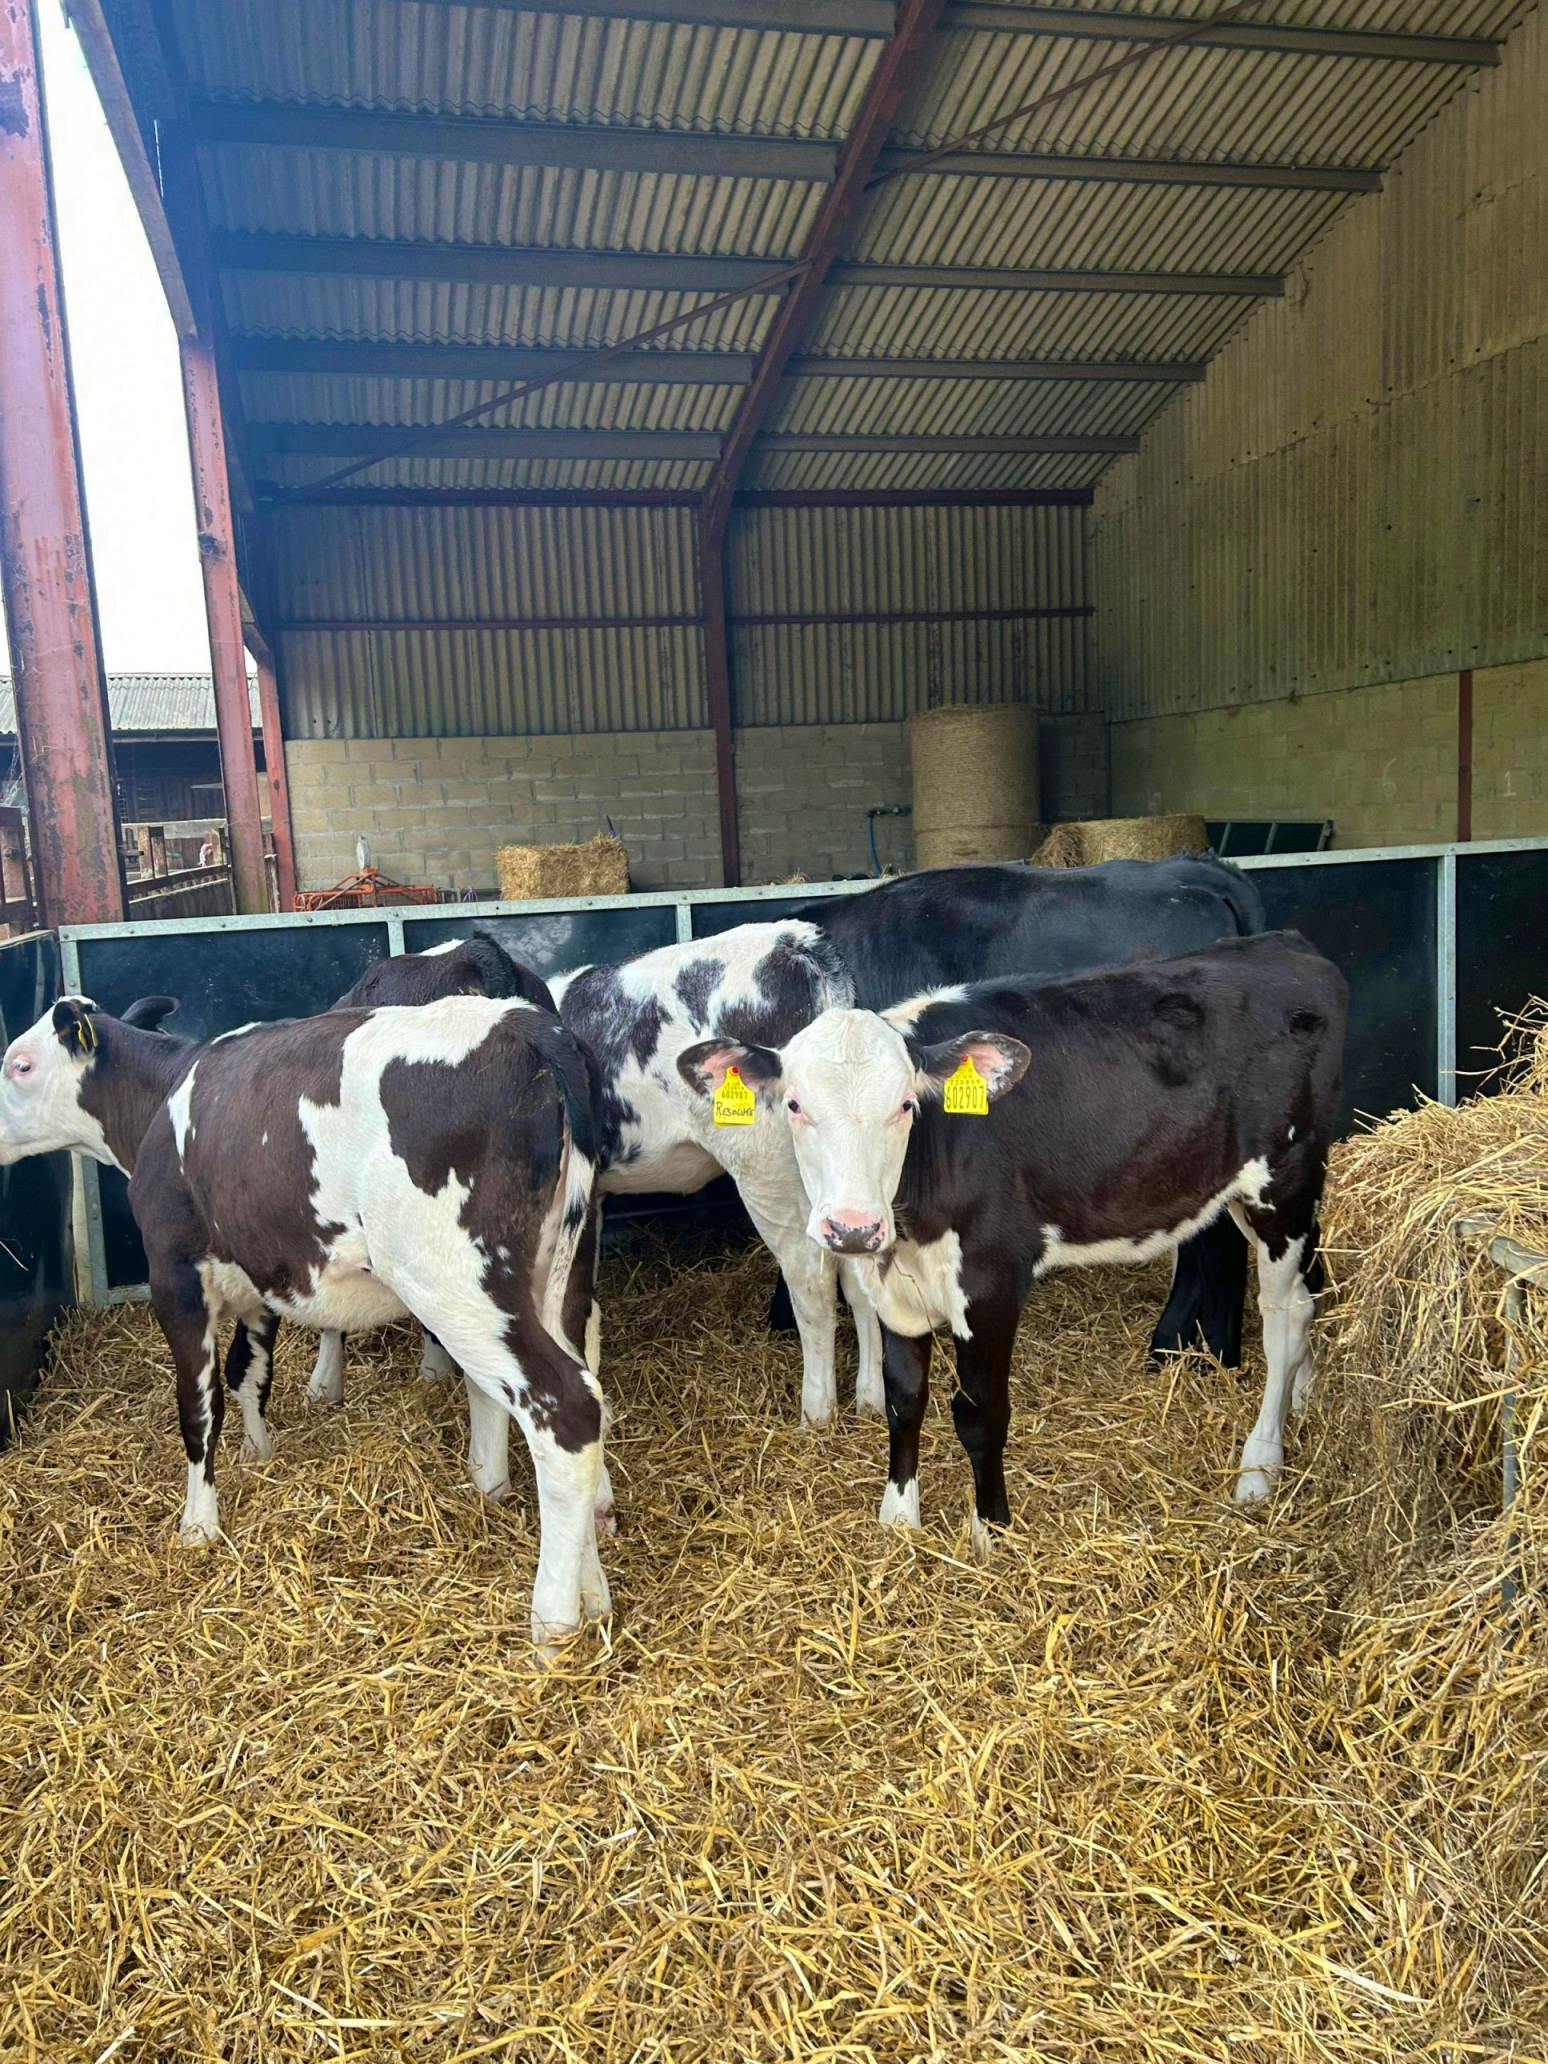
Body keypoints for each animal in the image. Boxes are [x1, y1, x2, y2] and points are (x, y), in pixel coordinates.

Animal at [0, 992, 608, 1653]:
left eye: (20, 1065)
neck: (161, 1101)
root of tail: (529, 1024)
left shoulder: (175, 1275)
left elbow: (198, 1405)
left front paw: (198, 1525)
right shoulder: (260, 1274)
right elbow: (248, 1373)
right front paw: (258, 1454)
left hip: (453, 1278)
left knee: (565, 1406)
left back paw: (553, 1621)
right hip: (560, 1275)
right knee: (579, 1378)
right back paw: (592, 1590)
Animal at [674, 931, 1346, 1541]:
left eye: (905, 1105)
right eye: (792, 1105)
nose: (853, 1227)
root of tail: (1287, 944)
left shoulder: (991, 1280)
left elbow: (979, 1412)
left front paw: (990, 1530)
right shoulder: (892, 1285)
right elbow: (903, 1397)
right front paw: (899, 1520)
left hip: (1284, 1186)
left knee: (1283, 1316)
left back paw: (1261, 1461)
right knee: (1309, 1295)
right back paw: (1303, 1400)